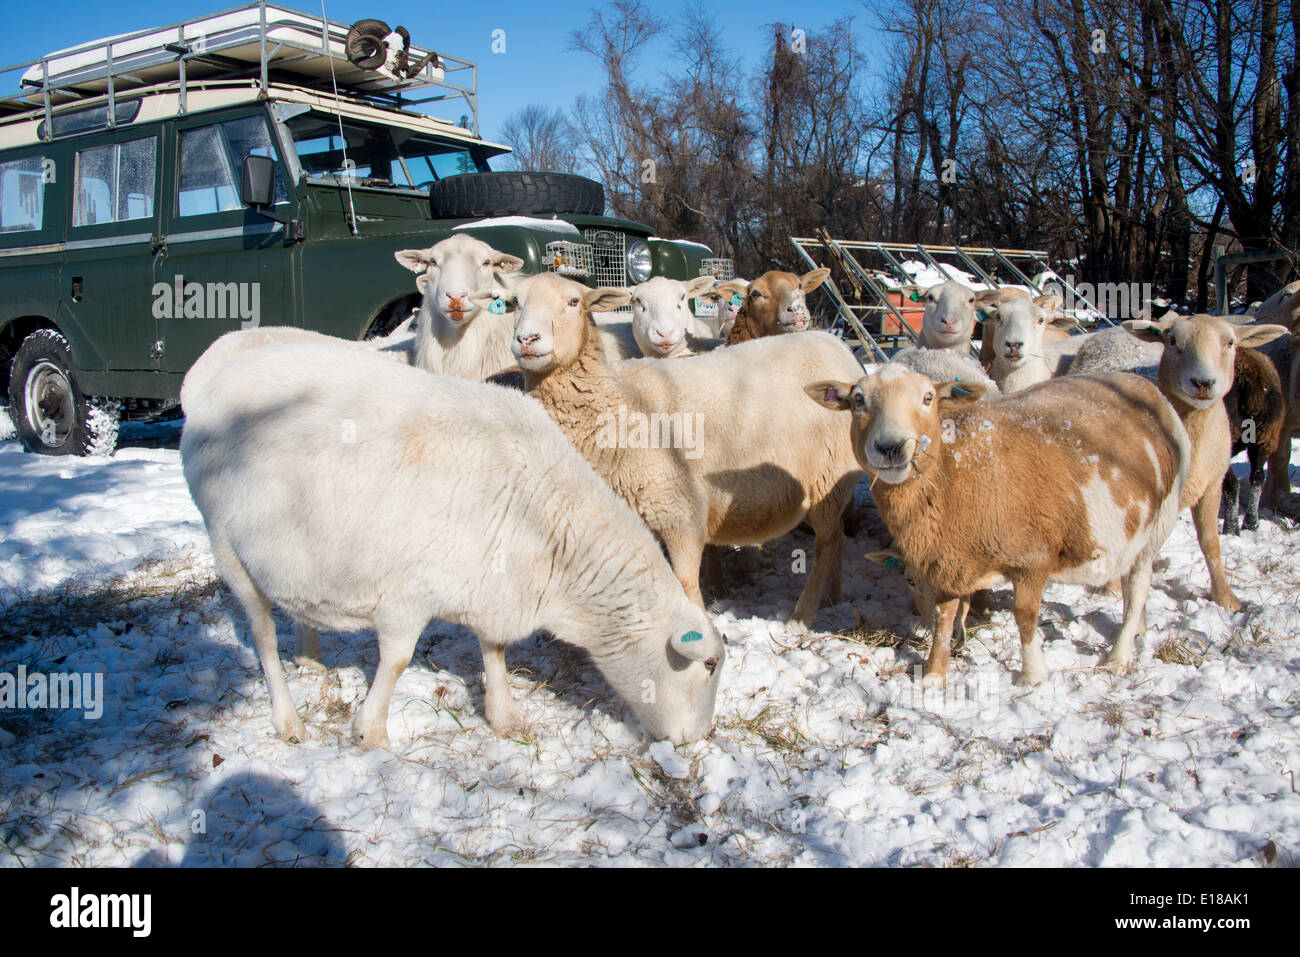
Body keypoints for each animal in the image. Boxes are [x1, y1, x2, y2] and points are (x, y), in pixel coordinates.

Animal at [179, 332, 725, 749]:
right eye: (709, 665)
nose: (697, 740)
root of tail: (219, 377)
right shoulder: (407, 592)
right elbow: (397, 661)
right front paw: (370, 732)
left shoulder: (492, 584)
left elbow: (495, 649)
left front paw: (504, 715)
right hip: (225, 542)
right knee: (263, 635)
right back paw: (288, 719)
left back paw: (311, 660)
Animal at [478, 272, 865, 631]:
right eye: (514, 303)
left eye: (574, 302)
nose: (527, 340)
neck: (616, 399)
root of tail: (836, 345)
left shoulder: (682, 510)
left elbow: (686, 584)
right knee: (836, 540)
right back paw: (833, 598)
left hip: (827, 478)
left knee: (827, 543)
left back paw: (803, 615)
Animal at [805, 365, 1190, 685]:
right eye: (858, 400)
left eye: (928, 398)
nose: (890, 447)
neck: (953, 475)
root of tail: (1142, 384)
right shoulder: (946, 557)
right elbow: (945, 616)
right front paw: (934, 675)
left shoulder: (1033, 557)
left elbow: (1025, 615)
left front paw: (1032, 676)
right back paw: (1138, 631)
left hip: (1158, 524)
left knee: (1137, 588)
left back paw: (1119, 657)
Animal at [1071, 314, 1290, 611]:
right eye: (1172, 340)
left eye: (1230, 343)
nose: (1202, 382)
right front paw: (1112, 589)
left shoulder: (1211, 485)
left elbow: (1210, 542)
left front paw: (1225, 597)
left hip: (1264, 440)